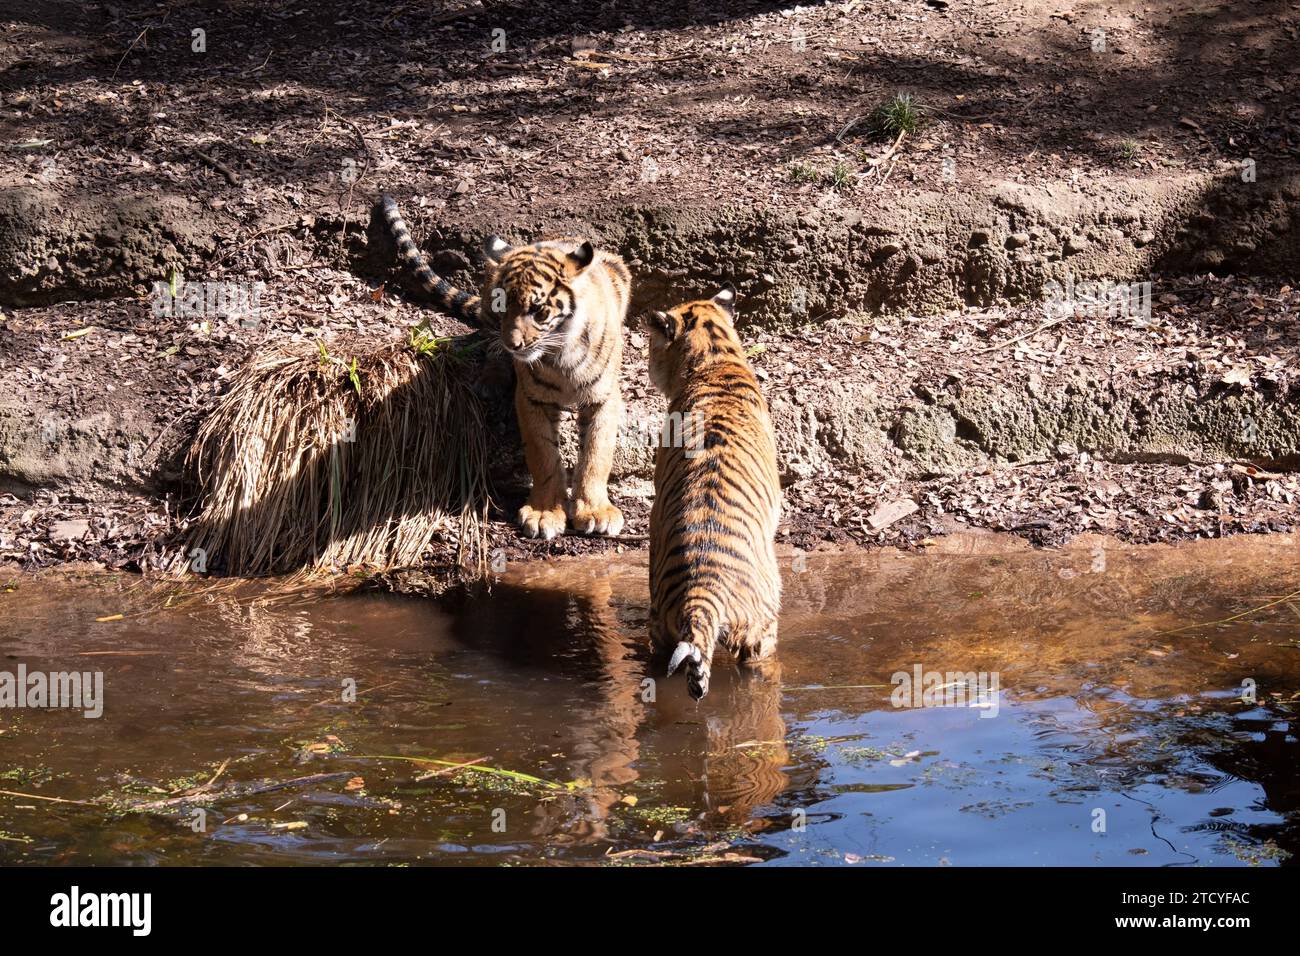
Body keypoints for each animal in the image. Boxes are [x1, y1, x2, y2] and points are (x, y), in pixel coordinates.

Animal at [375, 195, 629, 540]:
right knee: (489, 344)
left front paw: (595, 510)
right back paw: (491, 379)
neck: (561, 353)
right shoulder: (531, 398)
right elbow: (543, 456)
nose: (513, 345)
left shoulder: (604, 397)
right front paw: (544, 512)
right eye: (503, 306)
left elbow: (596, 453)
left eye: (538, 311)